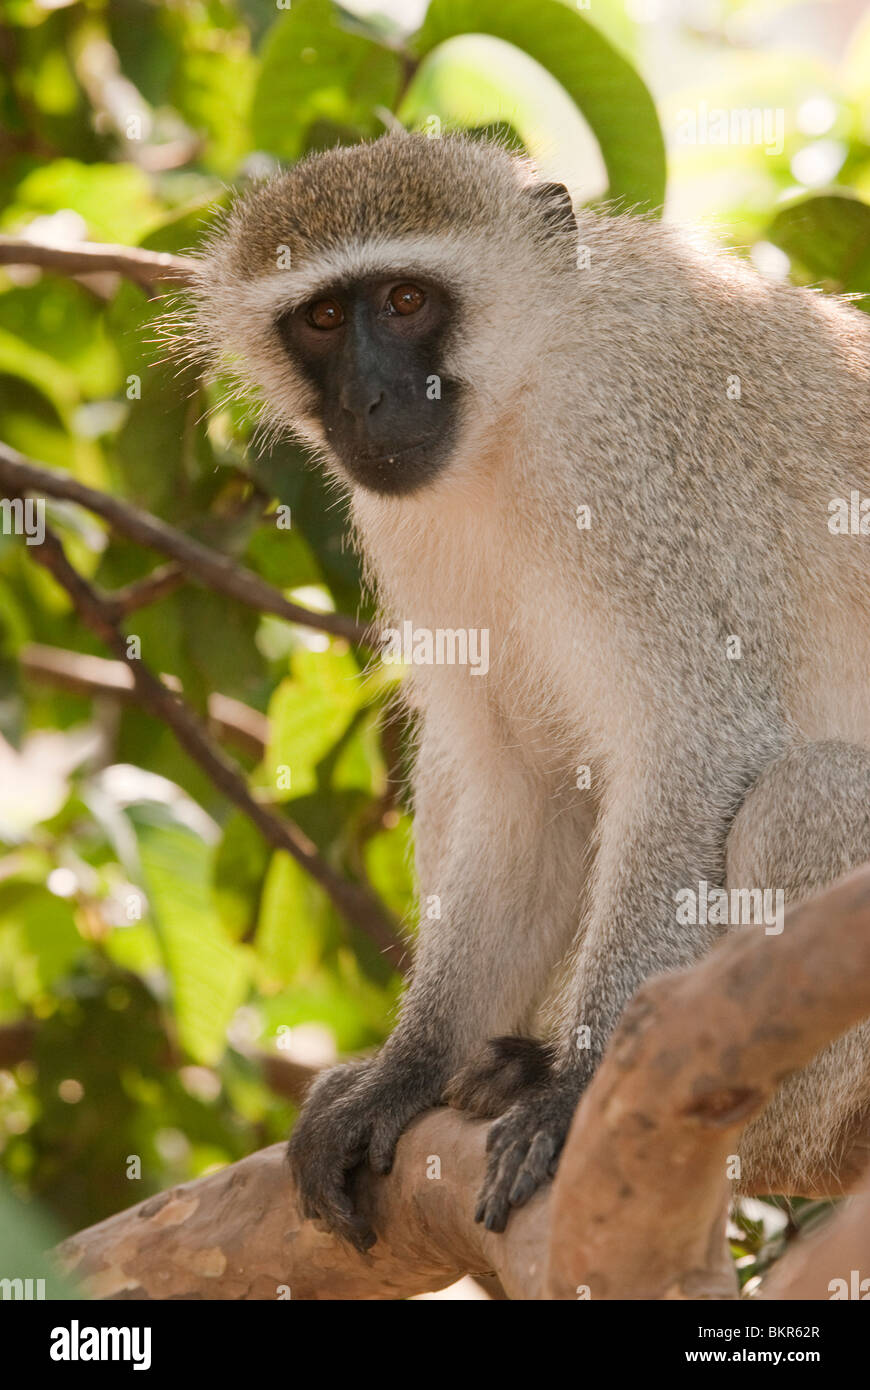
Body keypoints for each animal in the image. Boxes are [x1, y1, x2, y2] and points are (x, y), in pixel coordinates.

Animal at [185, 131, 870, 1253]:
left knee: (806, 802)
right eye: (324, 317)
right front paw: (405, 1071)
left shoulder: (621, 460)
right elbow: (521, 786)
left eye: (408, 300)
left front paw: (583, 1085)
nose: (369, 402)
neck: (515, 401)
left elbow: (695, 744)